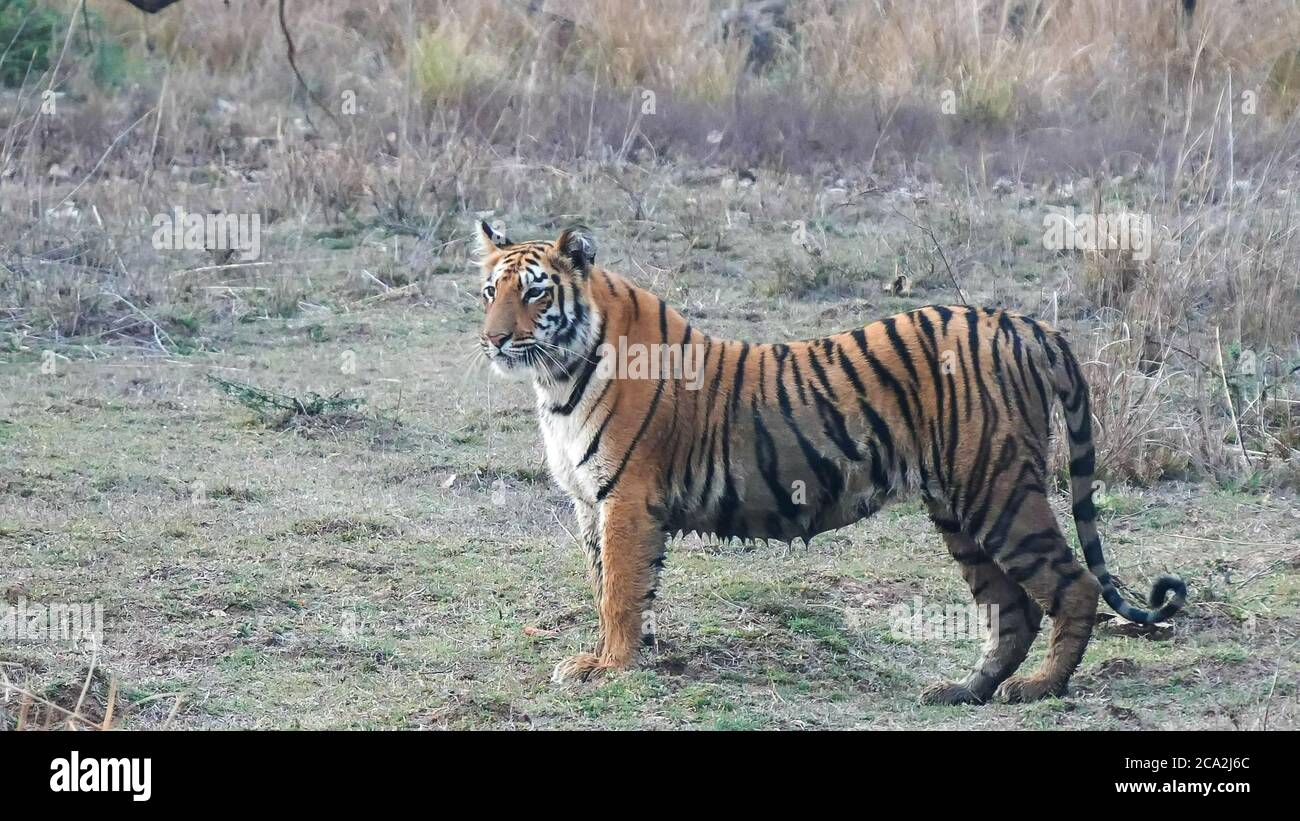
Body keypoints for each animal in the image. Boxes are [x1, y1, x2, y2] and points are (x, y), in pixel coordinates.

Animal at [475, 221, 1186, 704]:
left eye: (535, 295)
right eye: (490, 291)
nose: (493, 339)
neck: (557, 378)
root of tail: (1028, 324)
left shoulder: (624, 500)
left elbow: (620, 592)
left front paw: (611, 668)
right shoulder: (590, 503)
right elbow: (605, 585)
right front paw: (603, 659)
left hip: (1000, 490)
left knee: (1074, 584)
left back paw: (1040, 688)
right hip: (958, 509)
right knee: (1013, 609)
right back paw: (964, 691)